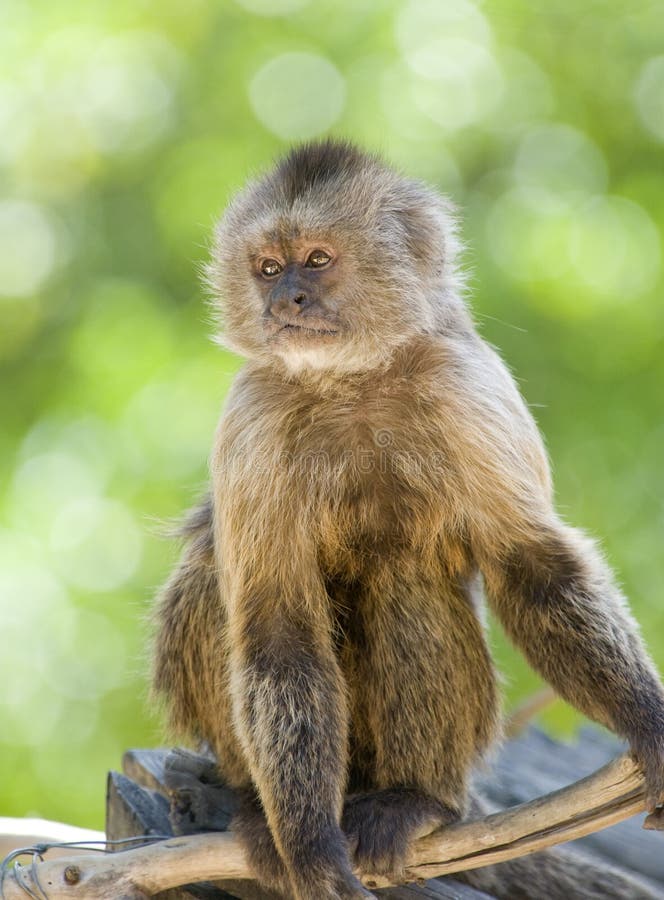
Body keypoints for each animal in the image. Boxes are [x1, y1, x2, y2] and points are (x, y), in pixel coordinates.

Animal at [153, 140, 664, 900]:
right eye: (268, 268)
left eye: (317, 260)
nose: (283, 300)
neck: (351, 380)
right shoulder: (253, 415)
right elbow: (277, 630)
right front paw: (310, 848)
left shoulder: (465, 383)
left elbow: (534, 568)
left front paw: (649, 724)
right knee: (220, 584)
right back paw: (255, 808)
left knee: (405, 577)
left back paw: (415, 798)